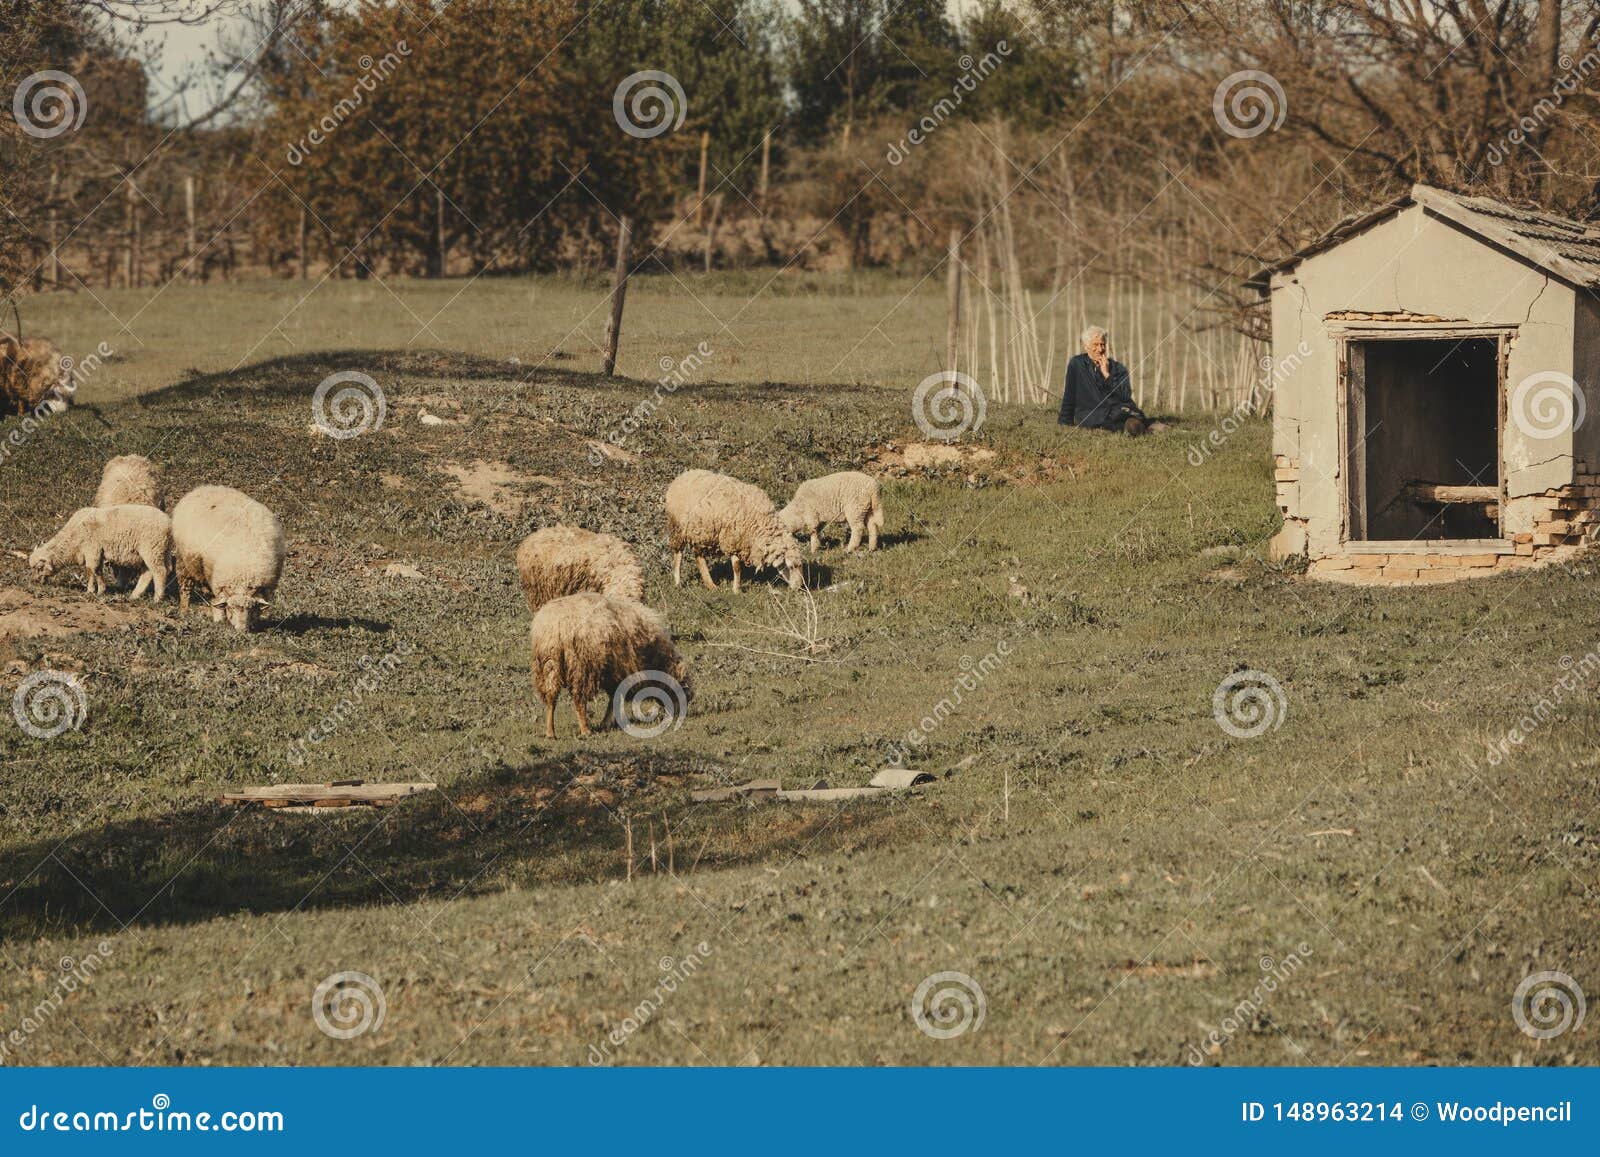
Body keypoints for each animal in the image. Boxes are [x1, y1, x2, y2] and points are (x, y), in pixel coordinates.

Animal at [28, 505, 172, 600]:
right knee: (148, 572)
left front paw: (94, 591)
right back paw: (134, 595)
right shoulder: (97, 552)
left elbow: (91, 570)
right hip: (156, 551)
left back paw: (157, 599)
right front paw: (98, 589)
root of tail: (168, 523)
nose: (33, 581)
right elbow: (97, 570)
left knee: (159, 571)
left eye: (39, 568)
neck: (72, 539)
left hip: (153, 548)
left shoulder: (92, 548)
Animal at [170, 485, 286, 631]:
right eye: (231, 608)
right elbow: (218, 601)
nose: (241, 630)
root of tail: (204, 487)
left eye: (251, 609)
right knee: (186, 586)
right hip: (185, 560)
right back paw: (184, 610)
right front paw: (219, 619)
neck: (244, 573)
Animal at [530, 592, 693, 738]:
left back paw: (550, 732)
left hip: (549, 663)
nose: (678, 715)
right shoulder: (623, 670)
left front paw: (607, 723)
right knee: (579, 700)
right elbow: (616, 697)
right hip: (580, 665)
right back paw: (585, 730)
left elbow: (615, 697)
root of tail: (557, 626)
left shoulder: (614, 673)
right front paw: (608, 722)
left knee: (551, 697)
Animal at [664, 469, 802, 592]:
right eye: (791, 566)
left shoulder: (740, 542)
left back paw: (711, 585)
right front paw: (737, 590)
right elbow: (737, 567)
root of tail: (682, 476)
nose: (799, 587)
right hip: (678, 528)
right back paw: (677, 582)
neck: (761, 522)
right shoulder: (732, 539)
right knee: (678, 554)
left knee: (699, 557)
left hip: (700, 532)